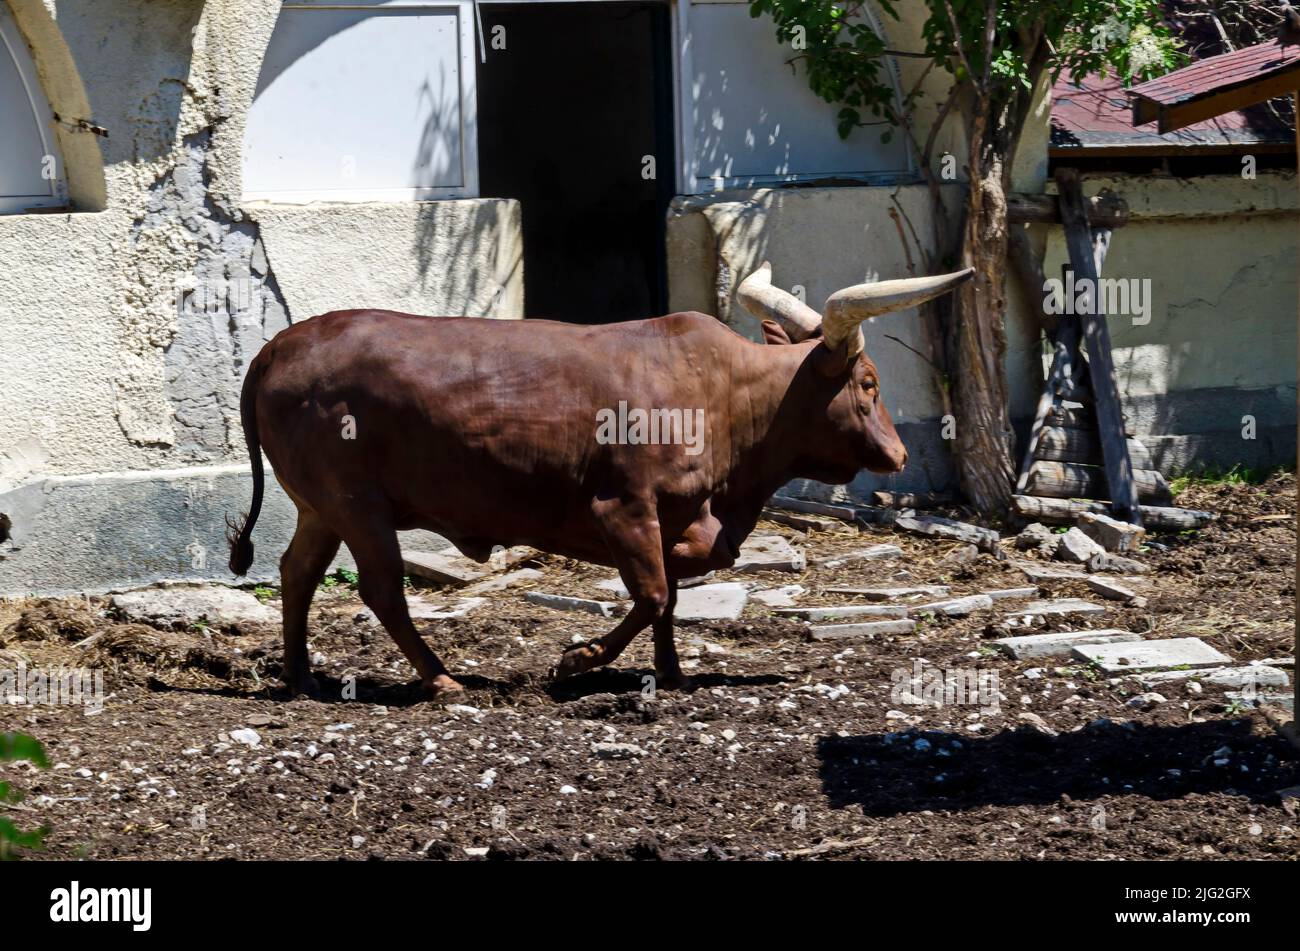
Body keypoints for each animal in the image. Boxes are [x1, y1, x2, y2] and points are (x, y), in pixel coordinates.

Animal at [227, 263, 974, 701]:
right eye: (867, 383)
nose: (899, 454)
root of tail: (277, 347)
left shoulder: (675, 519)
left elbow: (670, 595)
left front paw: (670, 671)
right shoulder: (622, 506)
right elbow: (652, 593)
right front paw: (578, 657)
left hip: (322, 507)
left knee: (296, 572)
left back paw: (300, 675)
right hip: (358, 506)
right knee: (382, 589)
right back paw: (441, 679)